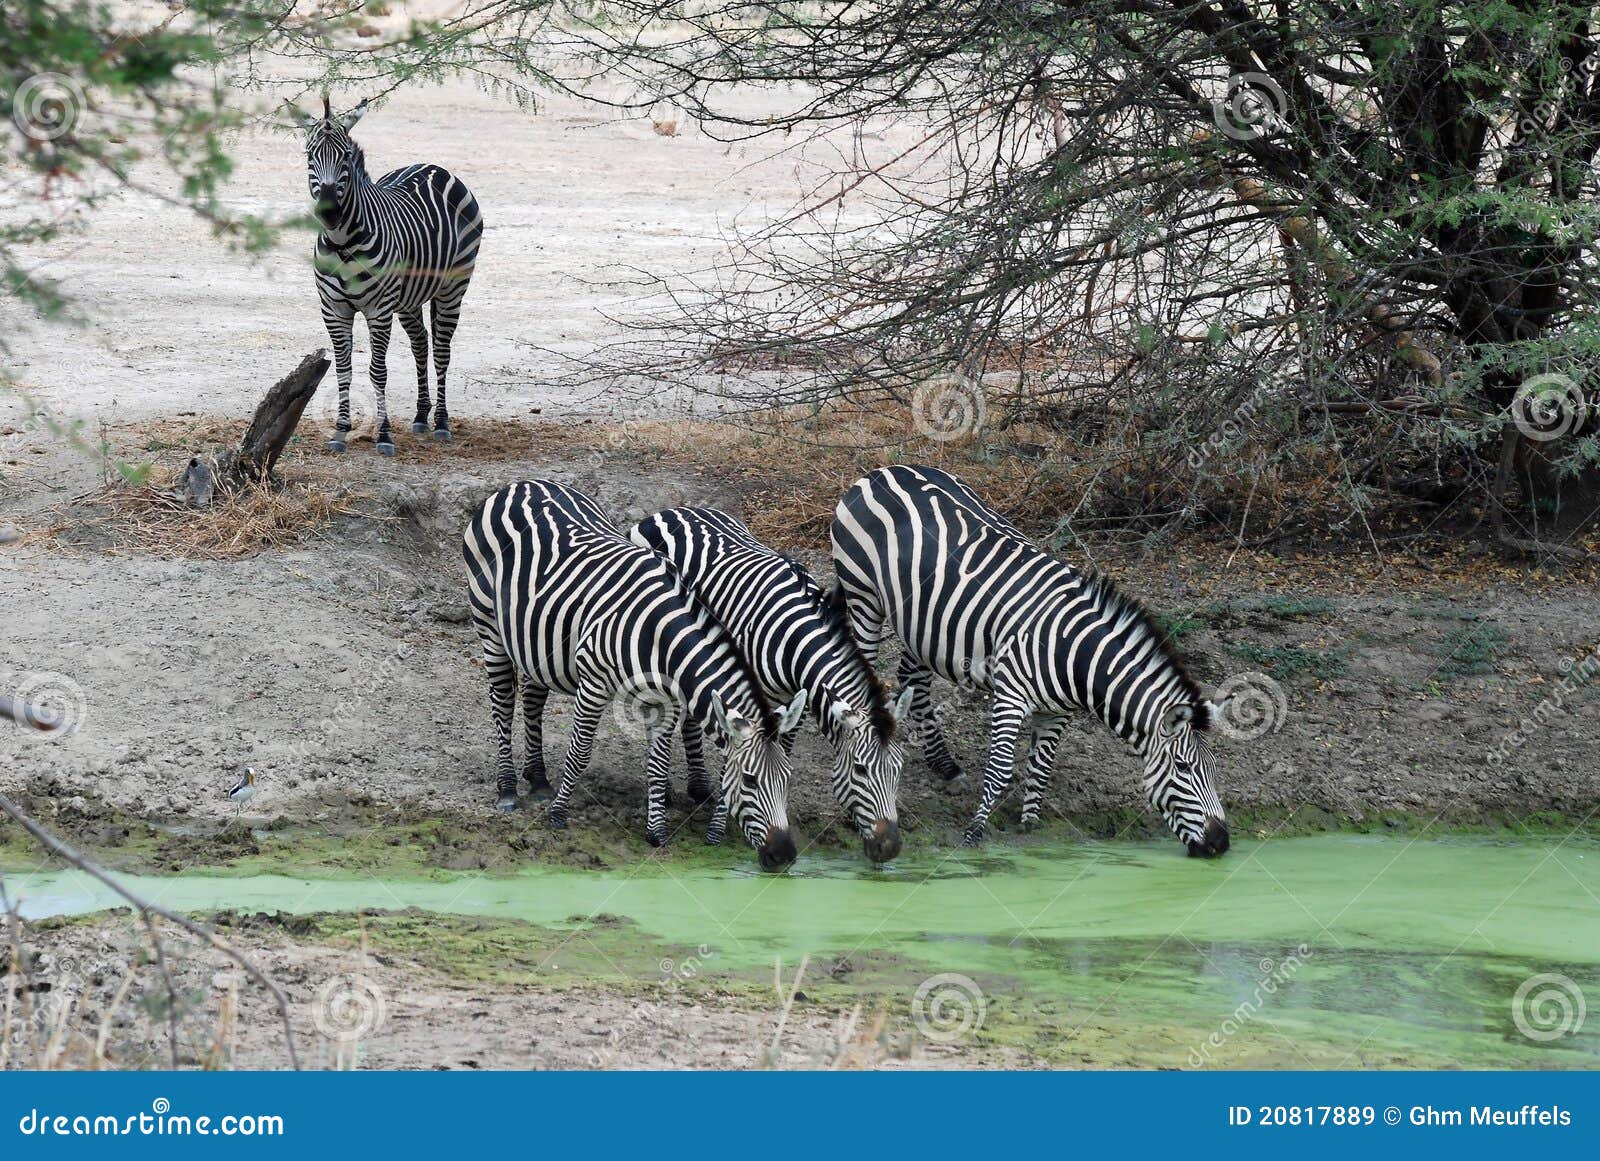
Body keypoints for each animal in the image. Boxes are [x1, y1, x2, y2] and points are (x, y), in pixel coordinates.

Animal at [287, 96, 481, 454]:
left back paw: (441, 423)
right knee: (421, 343)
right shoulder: (333, 309)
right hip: (408, 298)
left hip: (453, 287)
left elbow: (378, 372)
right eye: (310, 156)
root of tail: (434, 167)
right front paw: (340, 431)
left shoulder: (378, 310)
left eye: (345, 156)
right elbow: (344, 370)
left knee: (442, 351)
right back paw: (421, 416)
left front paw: (384, 435)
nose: (329, 213)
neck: (343, 242)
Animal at [463, 481, 806, 871]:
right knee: (503, 705)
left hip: (535, 639)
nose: (785, 855)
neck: (659, 634)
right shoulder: (594, 680)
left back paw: (537, 781)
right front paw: (559, 814)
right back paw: (507, 789)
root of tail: (524, 483)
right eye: (749, 781)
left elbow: (658, 764)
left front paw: (656, 831)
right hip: (489, 623)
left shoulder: (666, 700)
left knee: (533, 701)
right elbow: (579, 752)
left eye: (787, 778)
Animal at [630, 507, 915, 863]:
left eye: (899, 770)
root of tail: (673, 510)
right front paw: (717, 831)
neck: (795, 640)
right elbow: (738, 757)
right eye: (861, 770)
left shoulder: (796, 700)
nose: (890, 848)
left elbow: (782, 751)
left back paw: (698, 787)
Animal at [830, 465, 1229, 857]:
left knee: (914, 678)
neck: (1072, 652)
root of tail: (882, 470)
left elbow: (1041, 767)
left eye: (1214, 769)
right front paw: (973, 835)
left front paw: (1030, 827)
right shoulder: (1010, 696)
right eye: (1184, 767)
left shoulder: (1059, 712)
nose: (1221, 843)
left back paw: (944, 765)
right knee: (865, 661)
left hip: (922, 622)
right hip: (863, 596)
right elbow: (999, 769)